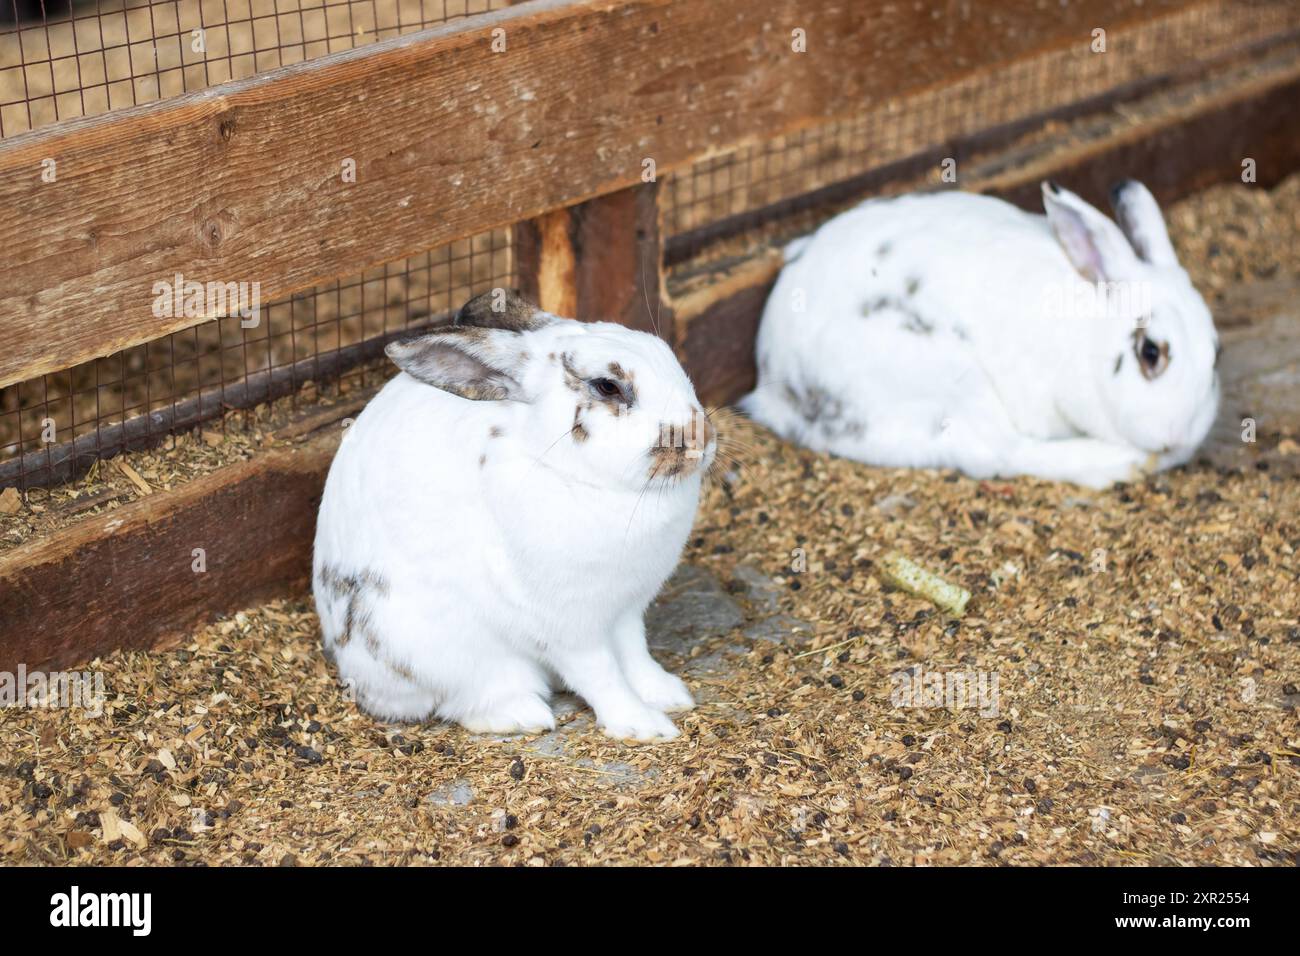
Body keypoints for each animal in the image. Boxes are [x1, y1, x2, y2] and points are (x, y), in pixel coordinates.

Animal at [313, 290, 716, 742]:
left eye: (666, 352)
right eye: (608, 386)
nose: (701, 437)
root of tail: (356, 675)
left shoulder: (626, 610)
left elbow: (635, 655)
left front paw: (668, 694)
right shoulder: (567, 626)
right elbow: (602, 674)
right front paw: (644, 725)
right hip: (450, 656)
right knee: (465, 701)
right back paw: (523, 714)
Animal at [742, 180, 1220, 489]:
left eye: (1216, 354)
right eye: (1150, 352)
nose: (1182, 437)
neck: (1087, 332)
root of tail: (773, 379)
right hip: (950, 378)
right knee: (1001, 452)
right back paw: (1120, 464)